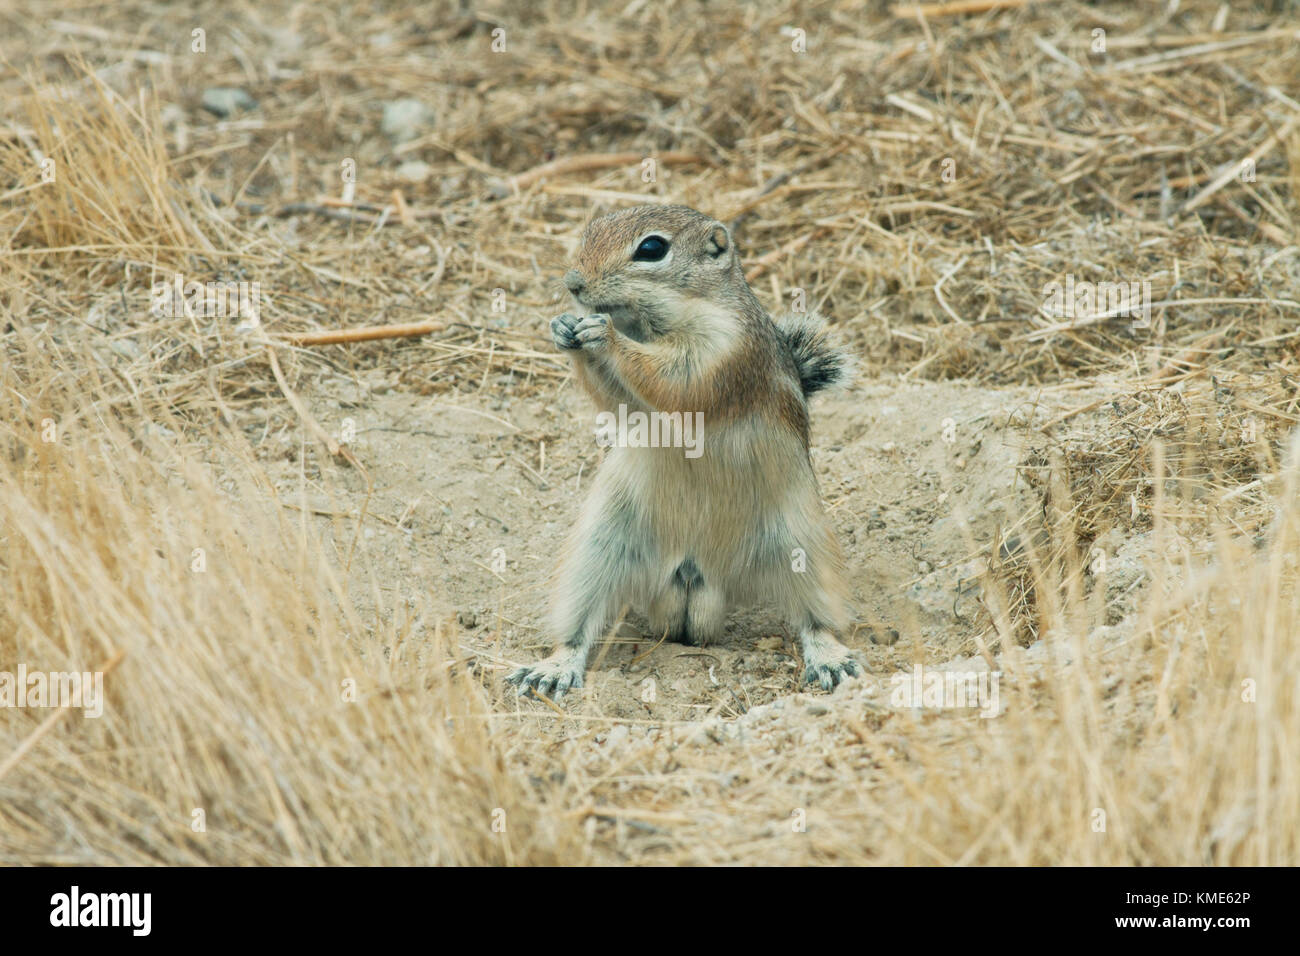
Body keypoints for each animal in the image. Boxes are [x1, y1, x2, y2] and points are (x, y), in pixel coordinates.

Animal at [507, 204, 860, 700]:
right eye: (590, 229)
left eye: (652, 248)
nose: (573, 283)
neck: (655, 322)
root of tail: (697, 583)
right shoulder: (637, 402)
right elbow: (619, 401)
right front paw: (563, 329)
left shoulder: (722, 351)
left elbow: (674, 380)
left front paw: (605, 335)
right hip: (597, 549)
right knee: (578, 626)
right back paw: (554, 668)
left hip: (802, 544)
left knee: (817, 619)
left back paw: (830, 658)